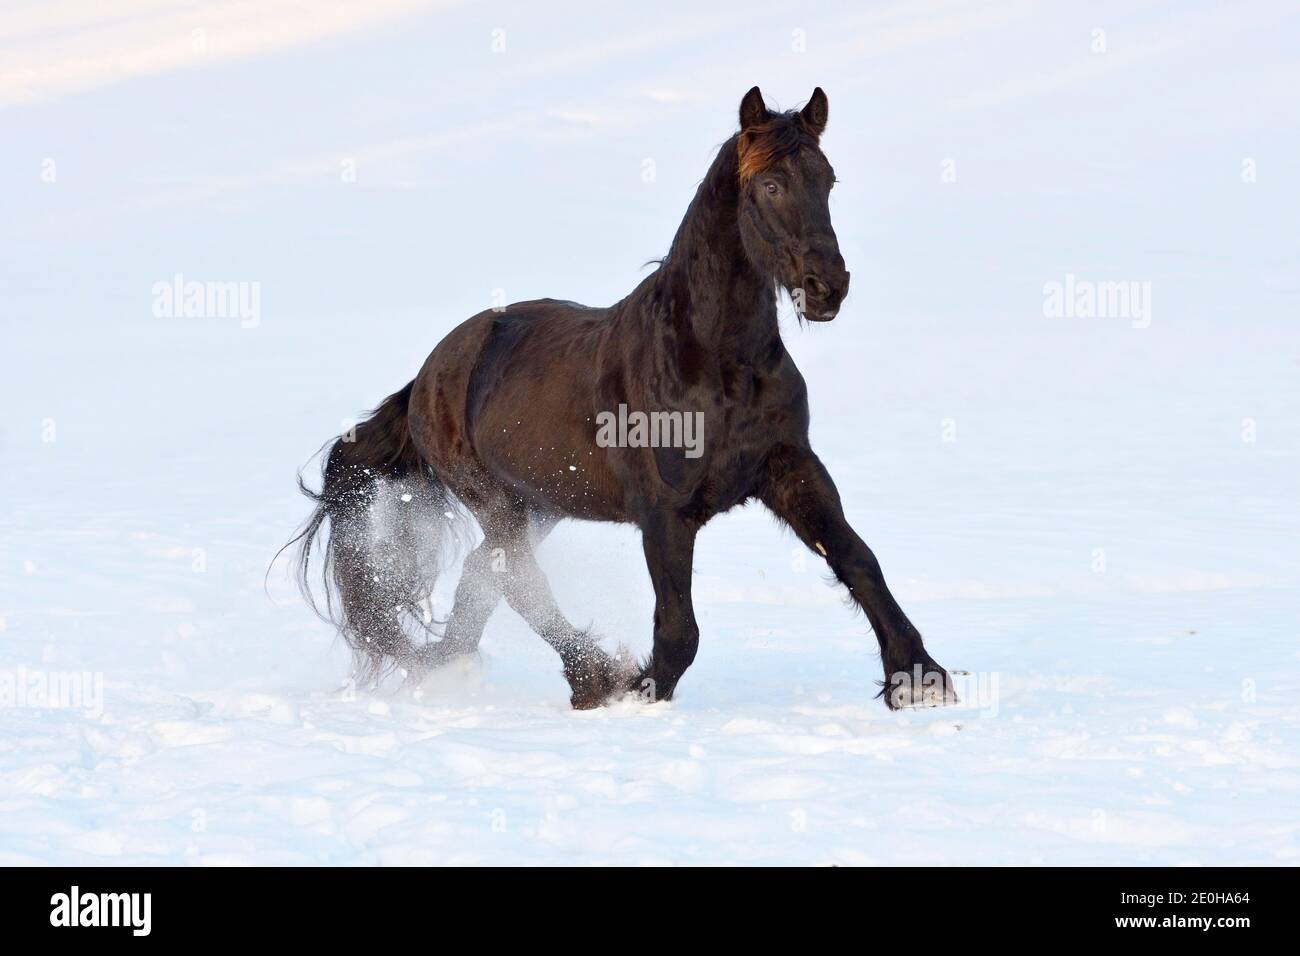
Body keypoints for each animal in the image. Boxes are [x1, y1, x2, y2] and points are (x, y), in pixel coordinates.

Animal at [288, 87, 956, 710]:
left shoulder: (790, 468)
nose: (827, 287)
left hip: (541, 503)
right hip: (496, 501)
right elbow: (680, 630)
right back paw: (590, 678)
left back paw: (450, 671)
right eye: (770, 184)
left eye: (827, 179)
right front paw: (639, 692)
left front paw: (919, 678)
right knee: (516, 581)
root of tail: (428, 376)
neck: (716, 364)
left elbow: (858, 561)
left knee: (485, 577)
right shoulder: (665, 512)